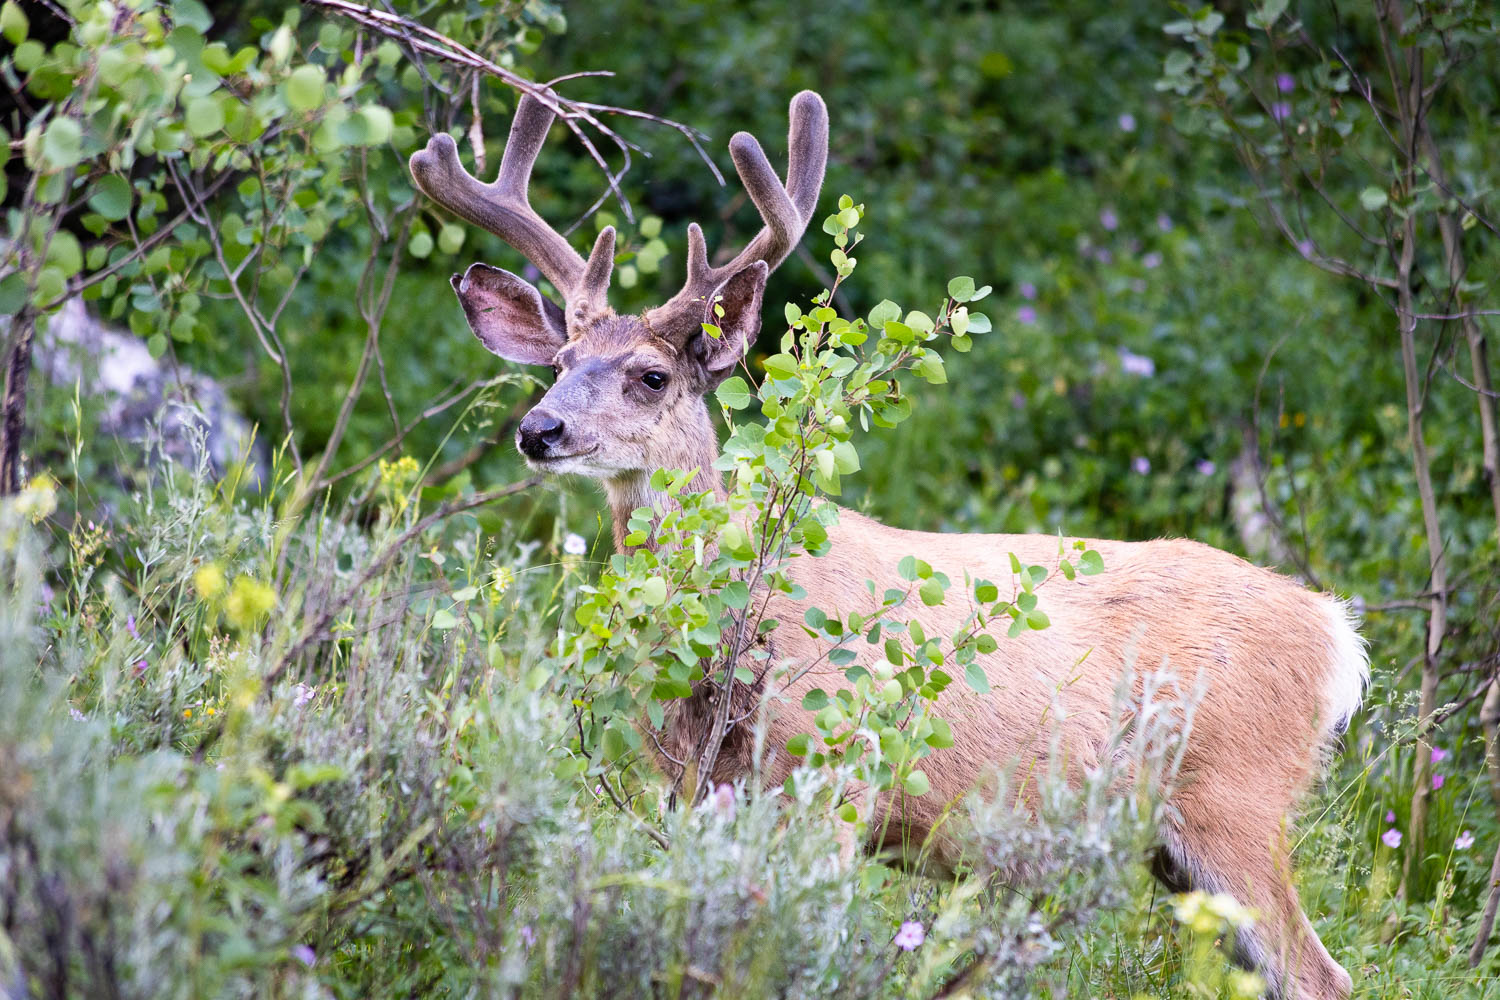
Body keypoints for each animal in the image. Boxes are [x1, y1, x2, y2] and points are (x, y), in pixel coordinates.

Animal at [408, 89, 1367, 1000]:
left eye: (650, 376)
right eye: (559, 362)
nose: (539, 429)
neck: (734, 636)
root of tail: (1335, 633)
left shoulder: (833, 773)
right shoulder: (693, 790)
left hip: (1234, 798)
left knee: (1323, 973)